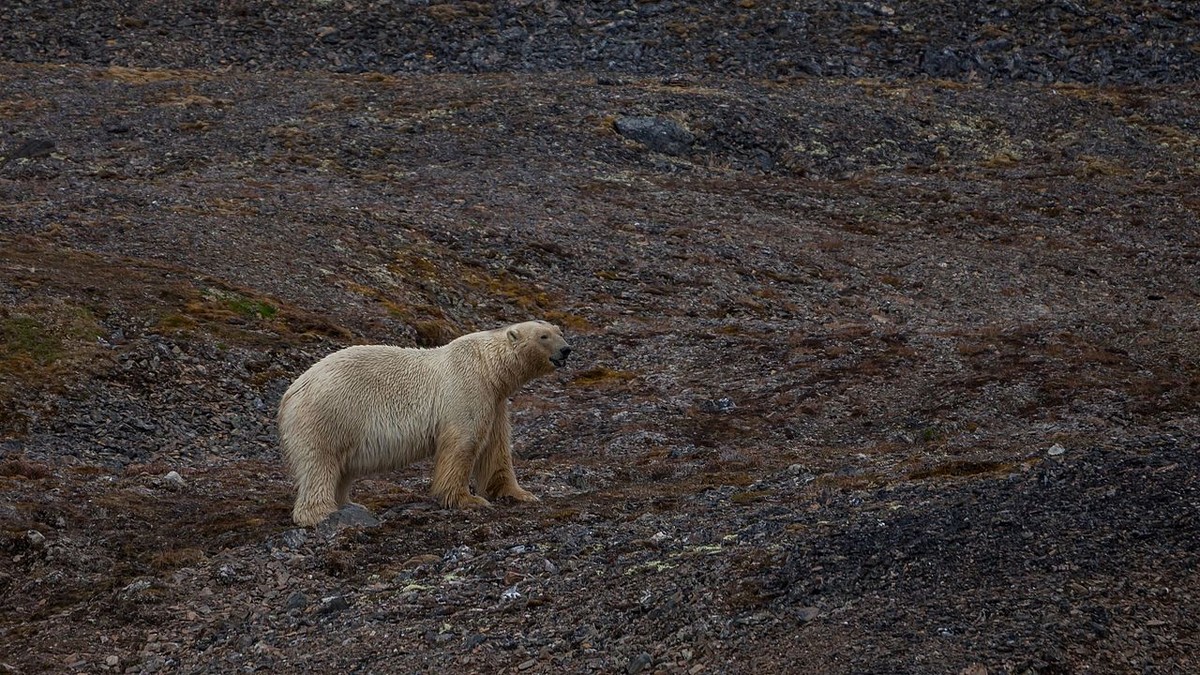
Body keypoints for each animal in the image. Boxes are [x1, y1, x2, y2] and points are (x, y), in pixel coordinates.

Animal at [277, 320, 572, 527]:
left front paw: (519, 494)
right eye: (543, 336)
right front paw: (467, 499)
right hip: (330, 413)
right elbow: (463, 443)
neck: (487, 367)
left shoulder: (495, 402)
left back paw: (350, 505)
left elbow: (495, 449)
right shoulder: (466, 390)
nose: (567, 349)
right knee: (320, 462)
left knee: (340, 469)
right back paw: (322, 513)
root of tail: (291, 392)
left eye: (559, 330)